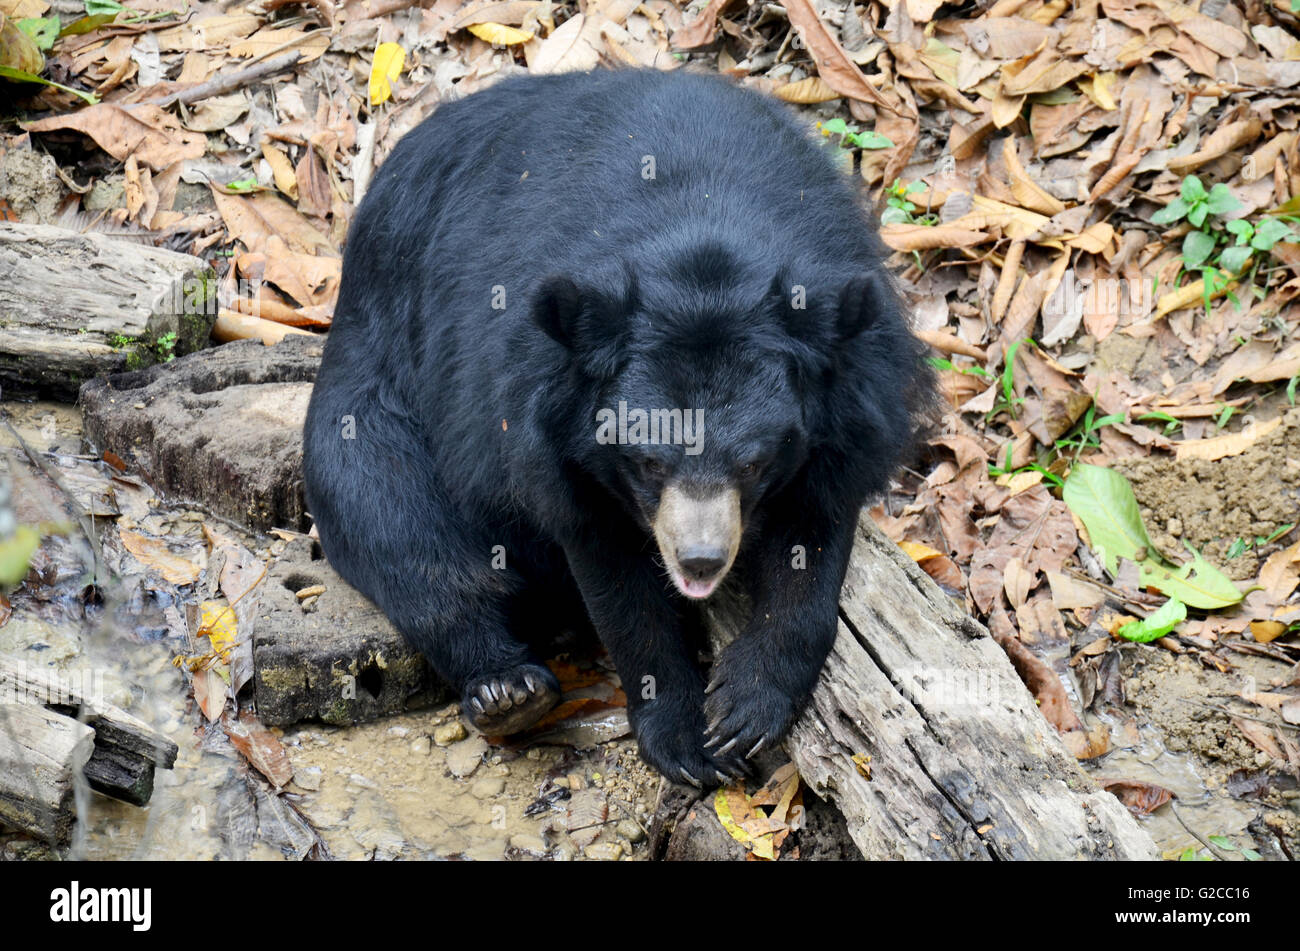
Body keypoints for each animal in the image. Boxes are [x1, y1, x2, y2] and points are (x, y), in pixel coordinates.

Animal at [302, 67, 930, 787]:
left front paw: (744, 711)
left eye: (753, 462)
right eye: (650, 461)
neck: (701, 239)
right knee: (389, 511)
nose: (700, 560)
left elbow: (814, 536)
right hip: (380, 361)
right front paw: (682, 739)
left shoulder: (853, 395)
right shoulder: (543, 422)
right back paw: (507, 690)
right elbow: (615, 581)